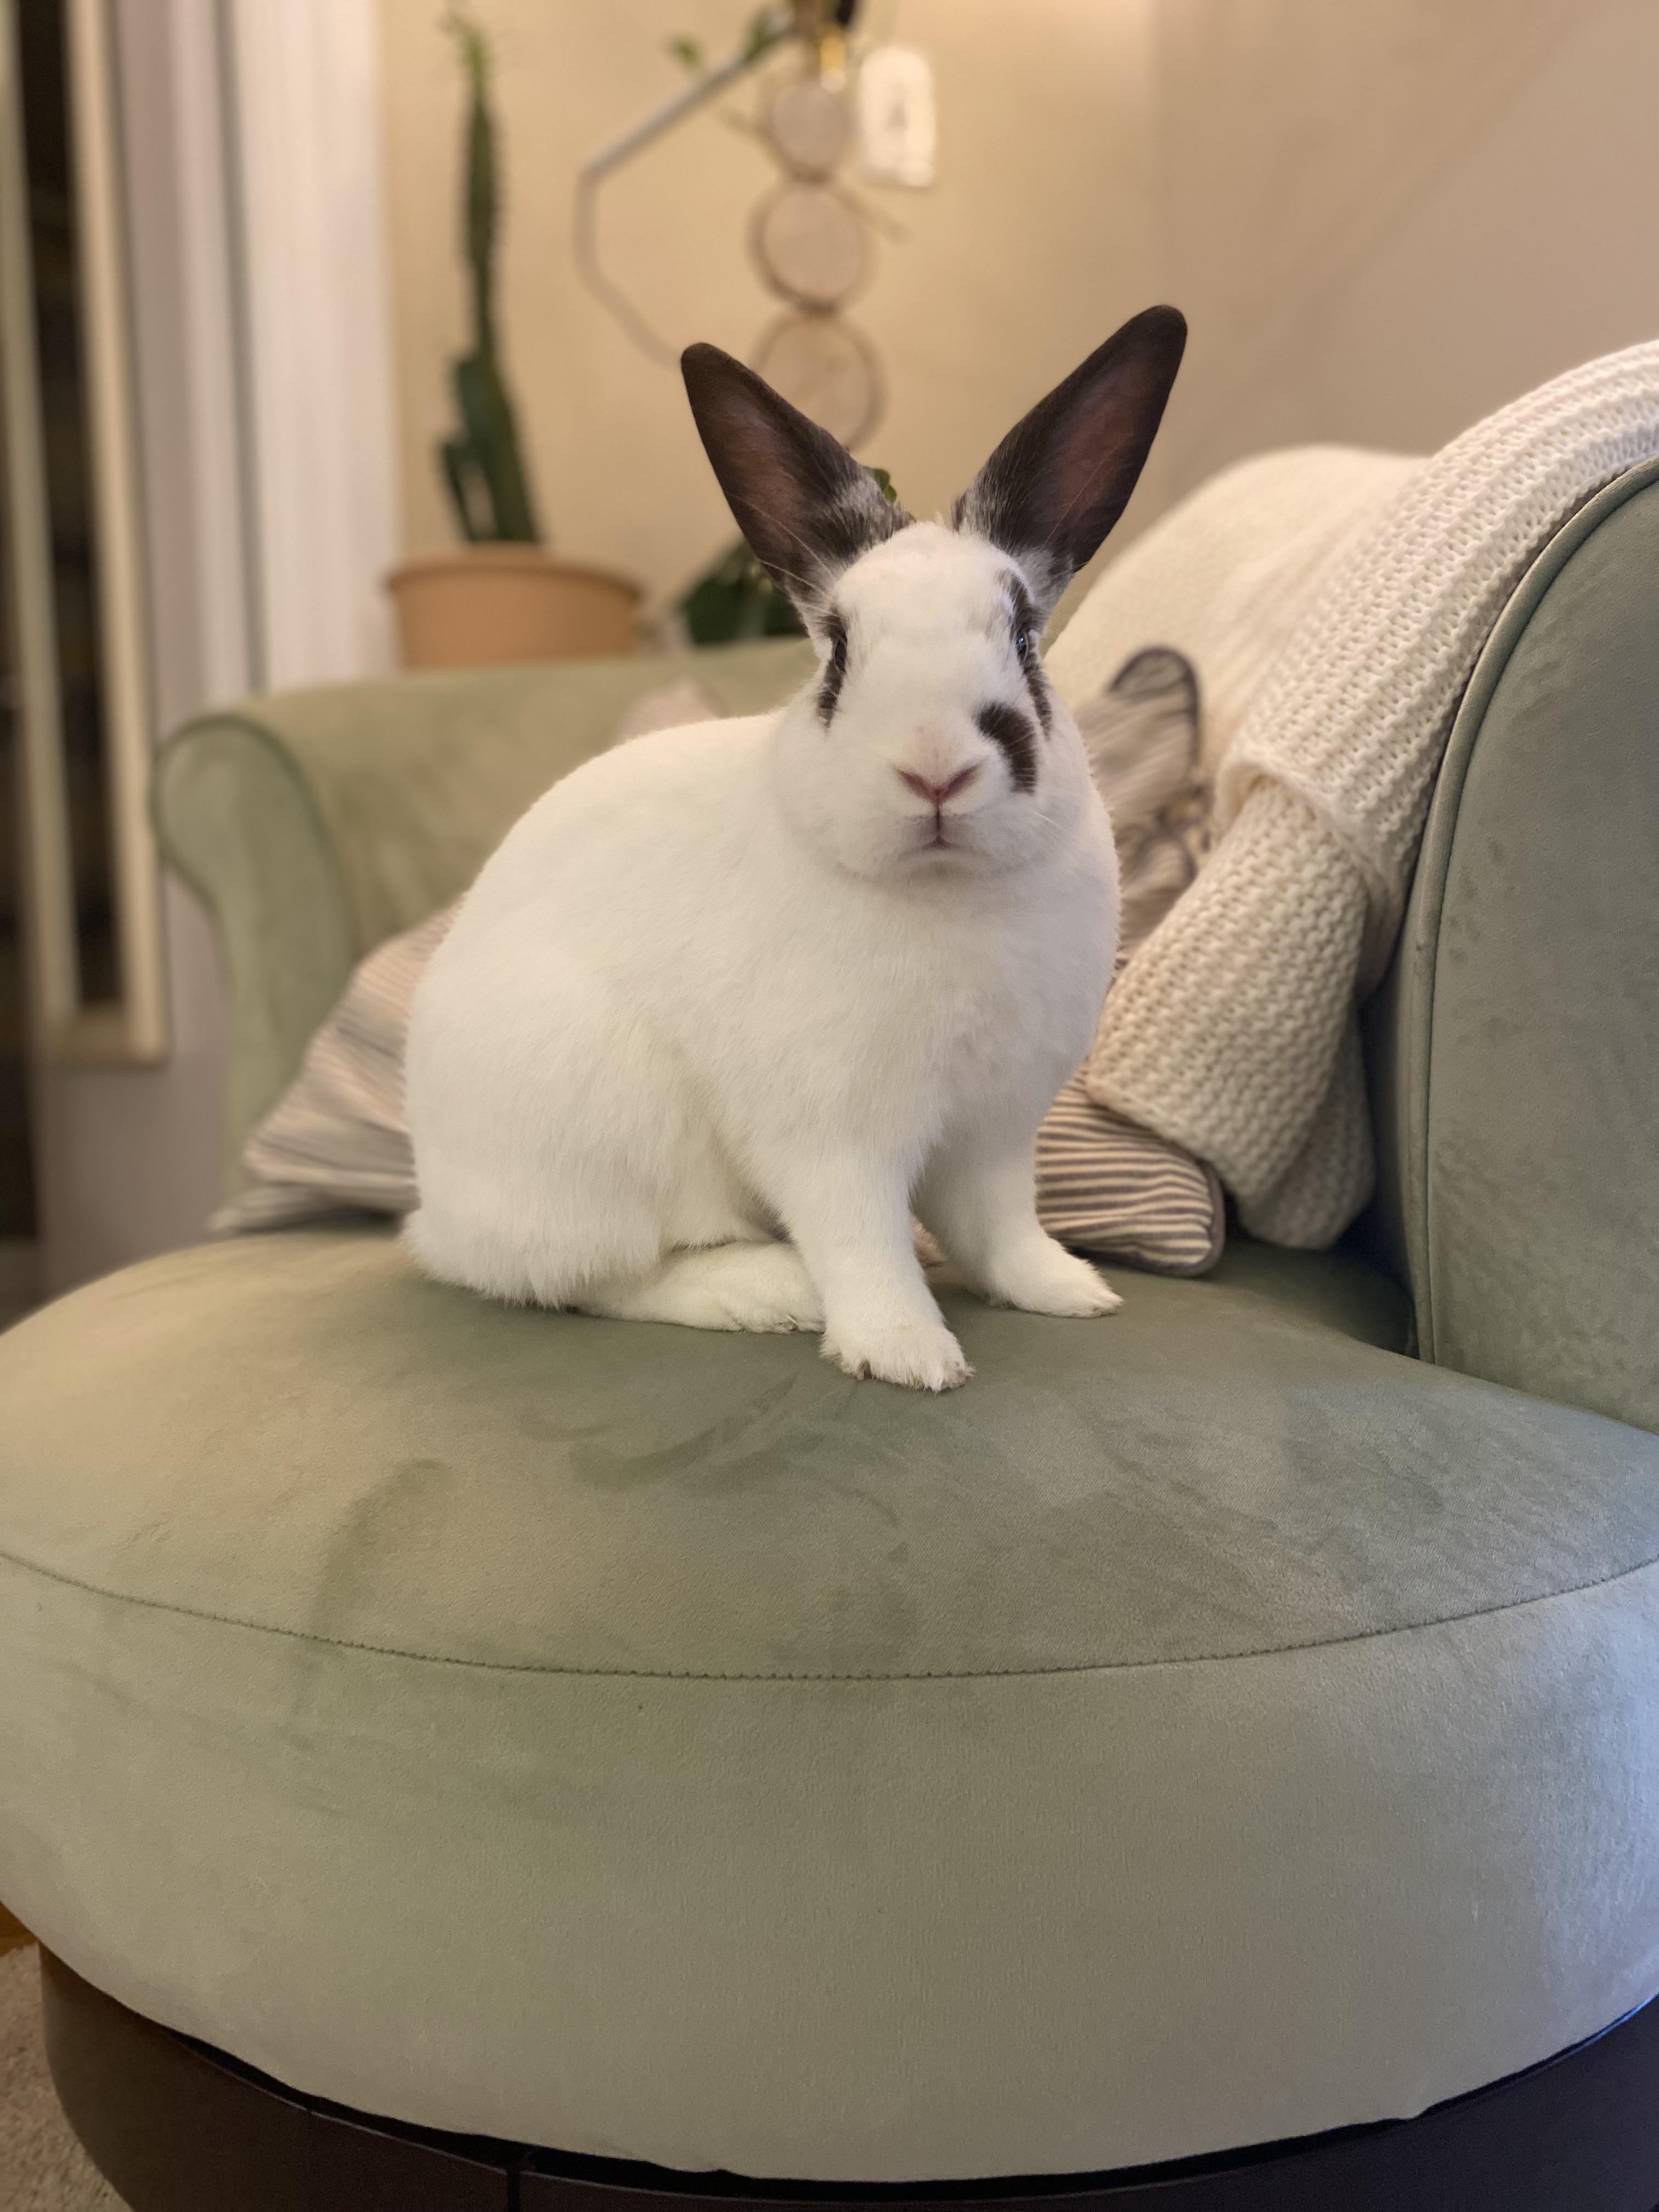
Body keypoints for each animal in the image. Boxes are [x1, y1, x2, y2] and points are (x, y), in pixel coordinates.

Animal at [404, 306, 1187, 1390]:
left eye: (1026, 639)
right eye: (838, 657)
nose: (934, 769)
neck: (945, 893)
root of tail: (437, 1217)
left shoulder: (994, 1128)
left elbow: (998, 1227)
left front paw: (1064, 1290)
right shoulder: (829, 1135)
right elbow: (862, 1240)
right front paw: (906, 1352)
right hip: (601, 1133)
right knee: (596, 1276)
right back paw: (765, 1289)